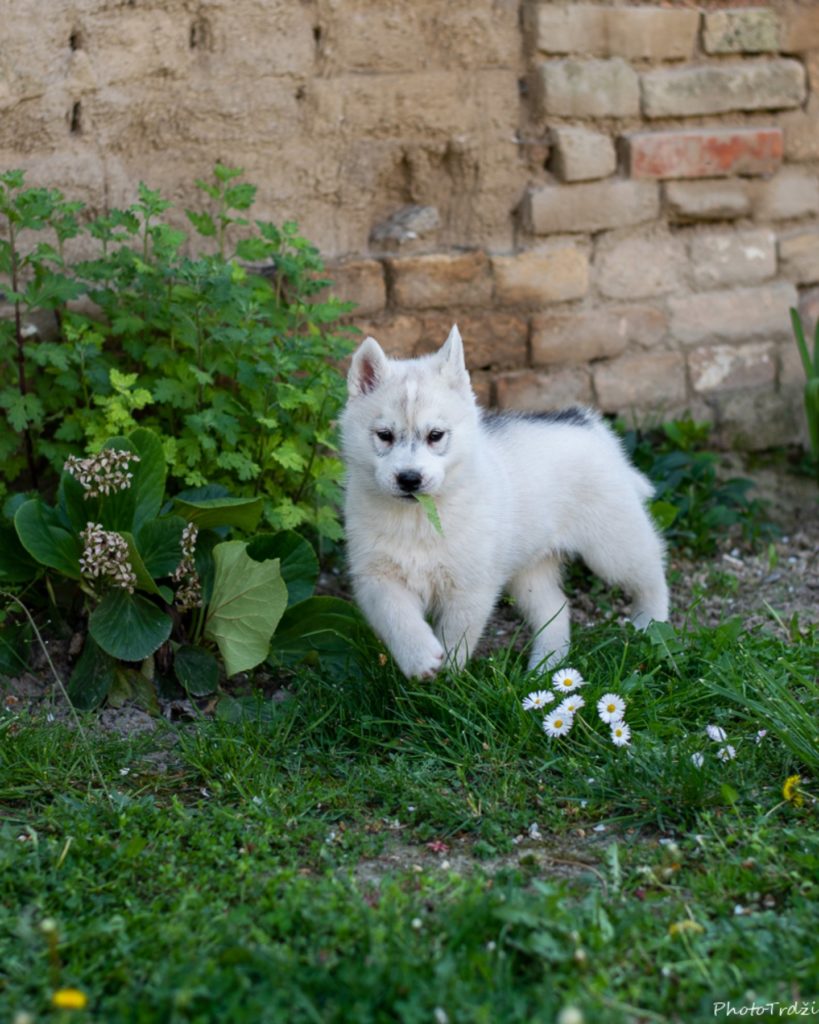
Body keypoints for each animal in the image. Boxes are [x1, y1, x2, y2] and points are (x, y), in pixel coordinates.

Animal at [341, 327, 667, 679]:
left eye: (436, 435)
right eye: (384, 435)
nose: (409, 479)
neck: (418, 520)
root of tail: (588, 423)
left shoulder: (470, 586)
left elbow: (456, 634)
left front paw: (449, 677)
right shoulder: (376, 577)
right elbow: (396, 616)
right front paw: (420, 659)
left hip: (612, 546)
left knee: (651, 571)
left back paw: (653, 624)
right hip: (529, 570)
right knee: (556, 609)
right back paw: (545, 666)